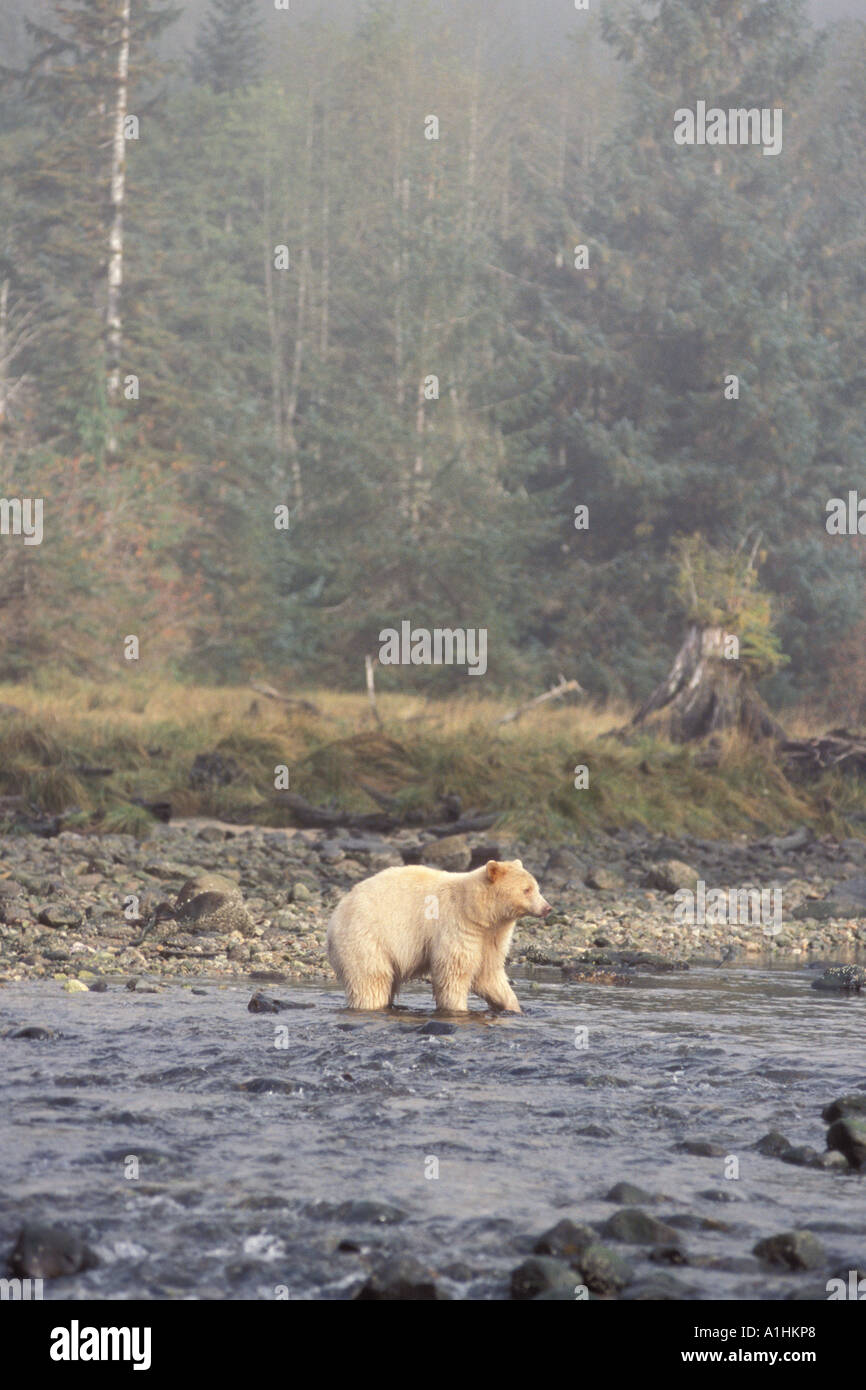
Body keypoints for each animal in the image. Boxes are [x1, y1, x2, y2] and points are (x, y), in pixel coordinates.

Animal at [326, 858, 551, 1013]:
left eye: (537, 887)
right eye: (527, 890)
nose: (547, 908)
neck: (478, 911)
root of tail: (336, 914)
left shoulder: (491, 936)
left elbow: (488, 974)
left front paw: (514, 1007)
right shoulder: (458, 925)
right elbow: (454, 970)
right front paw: (457, 1009)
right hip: (366, 939)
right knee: (371, 981)